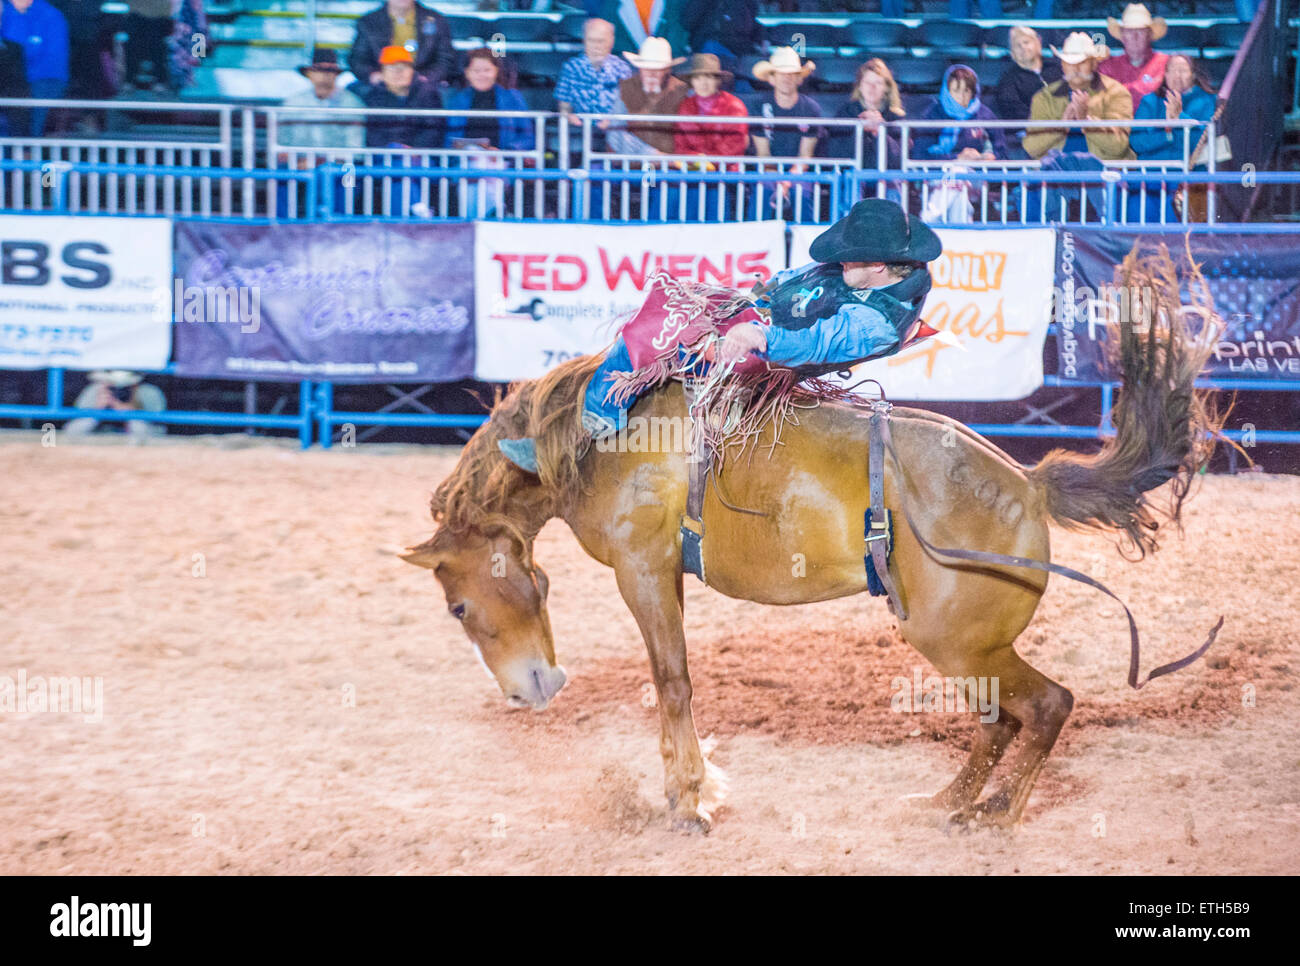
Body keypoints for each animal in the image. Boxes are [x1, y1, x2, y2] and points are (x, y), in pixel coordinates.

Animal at [402, 249, 1223, 832]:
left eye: (457, 609)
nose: (535, 689)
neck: (594, 446)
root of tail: (1027, 483)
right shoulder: (663, 573)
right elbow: (674, 680)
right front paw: (690, 789)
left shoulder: (640, 570)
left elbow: (672, 681)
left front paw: (688, 802)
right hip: (963, 643)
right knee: (999, 718)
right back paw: (949, 802)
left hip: (957, 639)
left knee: (1047, 705)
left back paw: (995, 815)